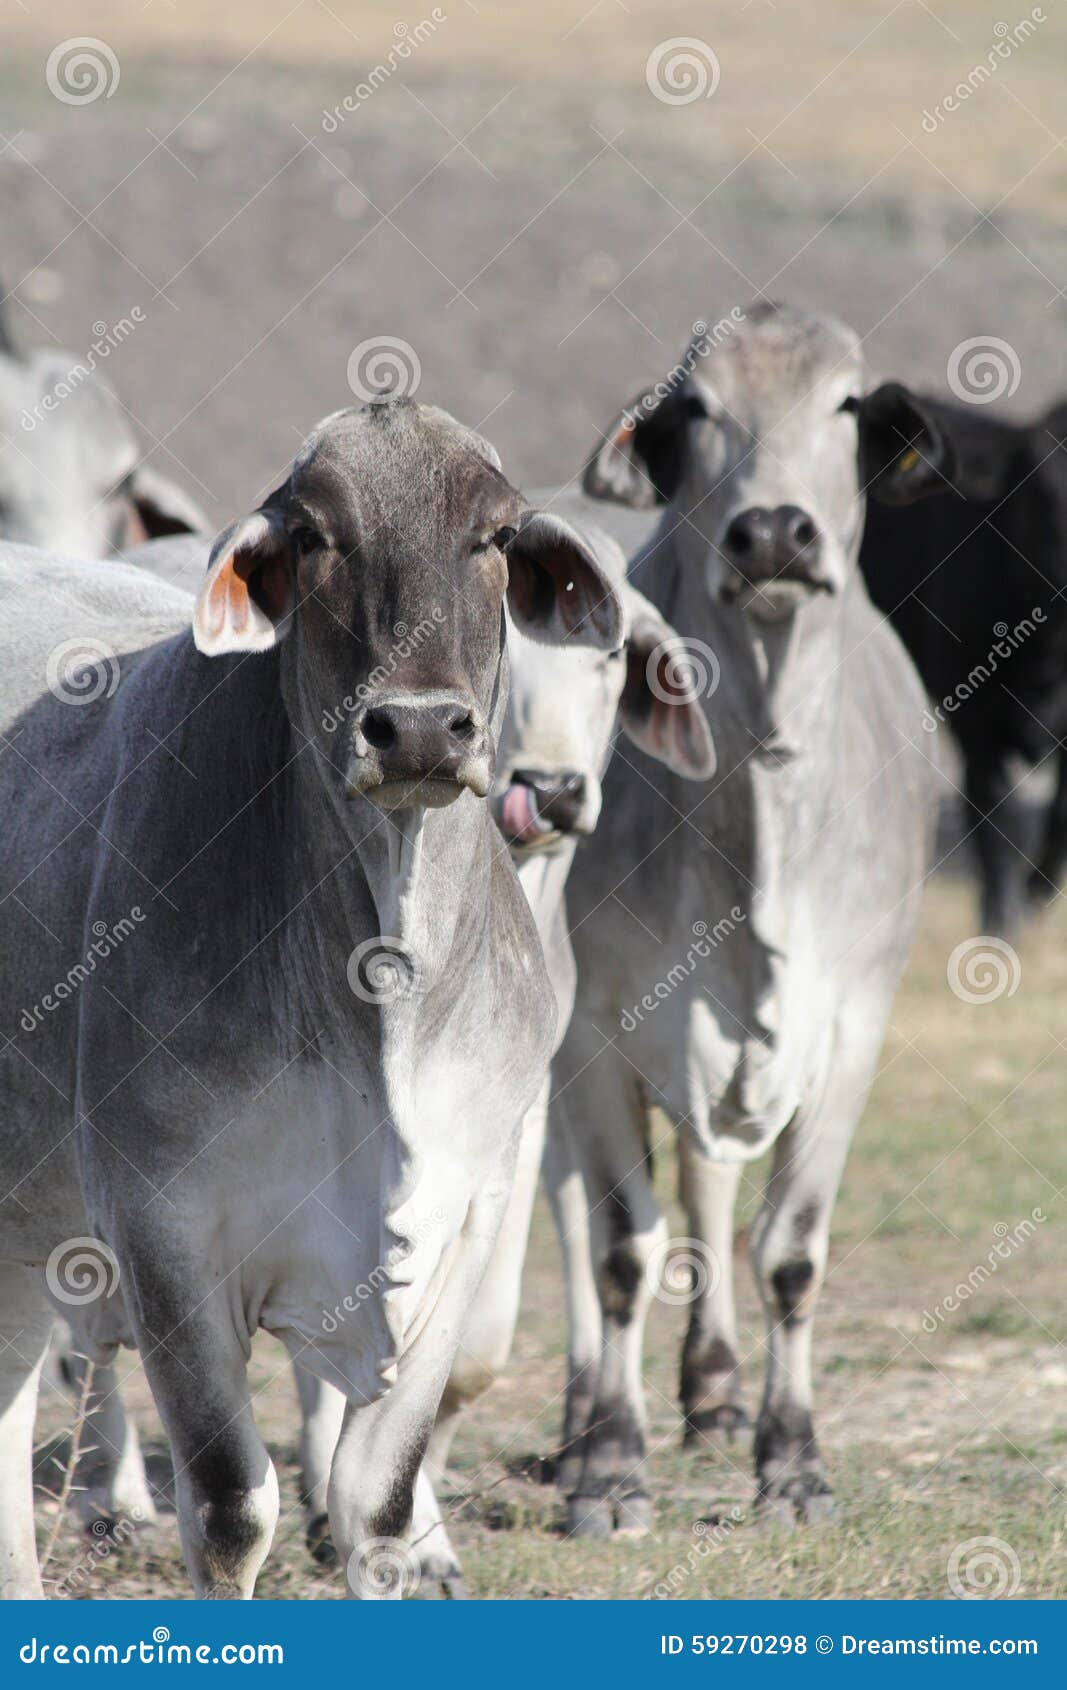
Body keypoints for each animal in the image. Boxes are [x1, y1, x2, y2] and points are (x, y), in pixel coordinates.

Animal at [0, 395, 624, 1600]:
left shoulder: (463, 1217)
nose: (418, 727)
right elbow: (232, 1510)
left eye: (493, 534)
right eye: (313, 535)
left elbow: (374, 1506)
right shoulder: (166, 1232)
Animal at [546, 302, 939, 1536]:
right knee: (571, 1215)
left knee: (708, 1184)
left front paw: (792, 1460)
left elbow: (790, 1253)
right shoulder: (590, 1029)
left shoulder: (852, 1023)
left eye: (846, 403)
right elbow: (618, 1248)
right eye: (695, 408)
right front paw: (611, 1469)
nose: (770, 531)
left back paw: (714, 1391)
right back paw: (578, 1429)